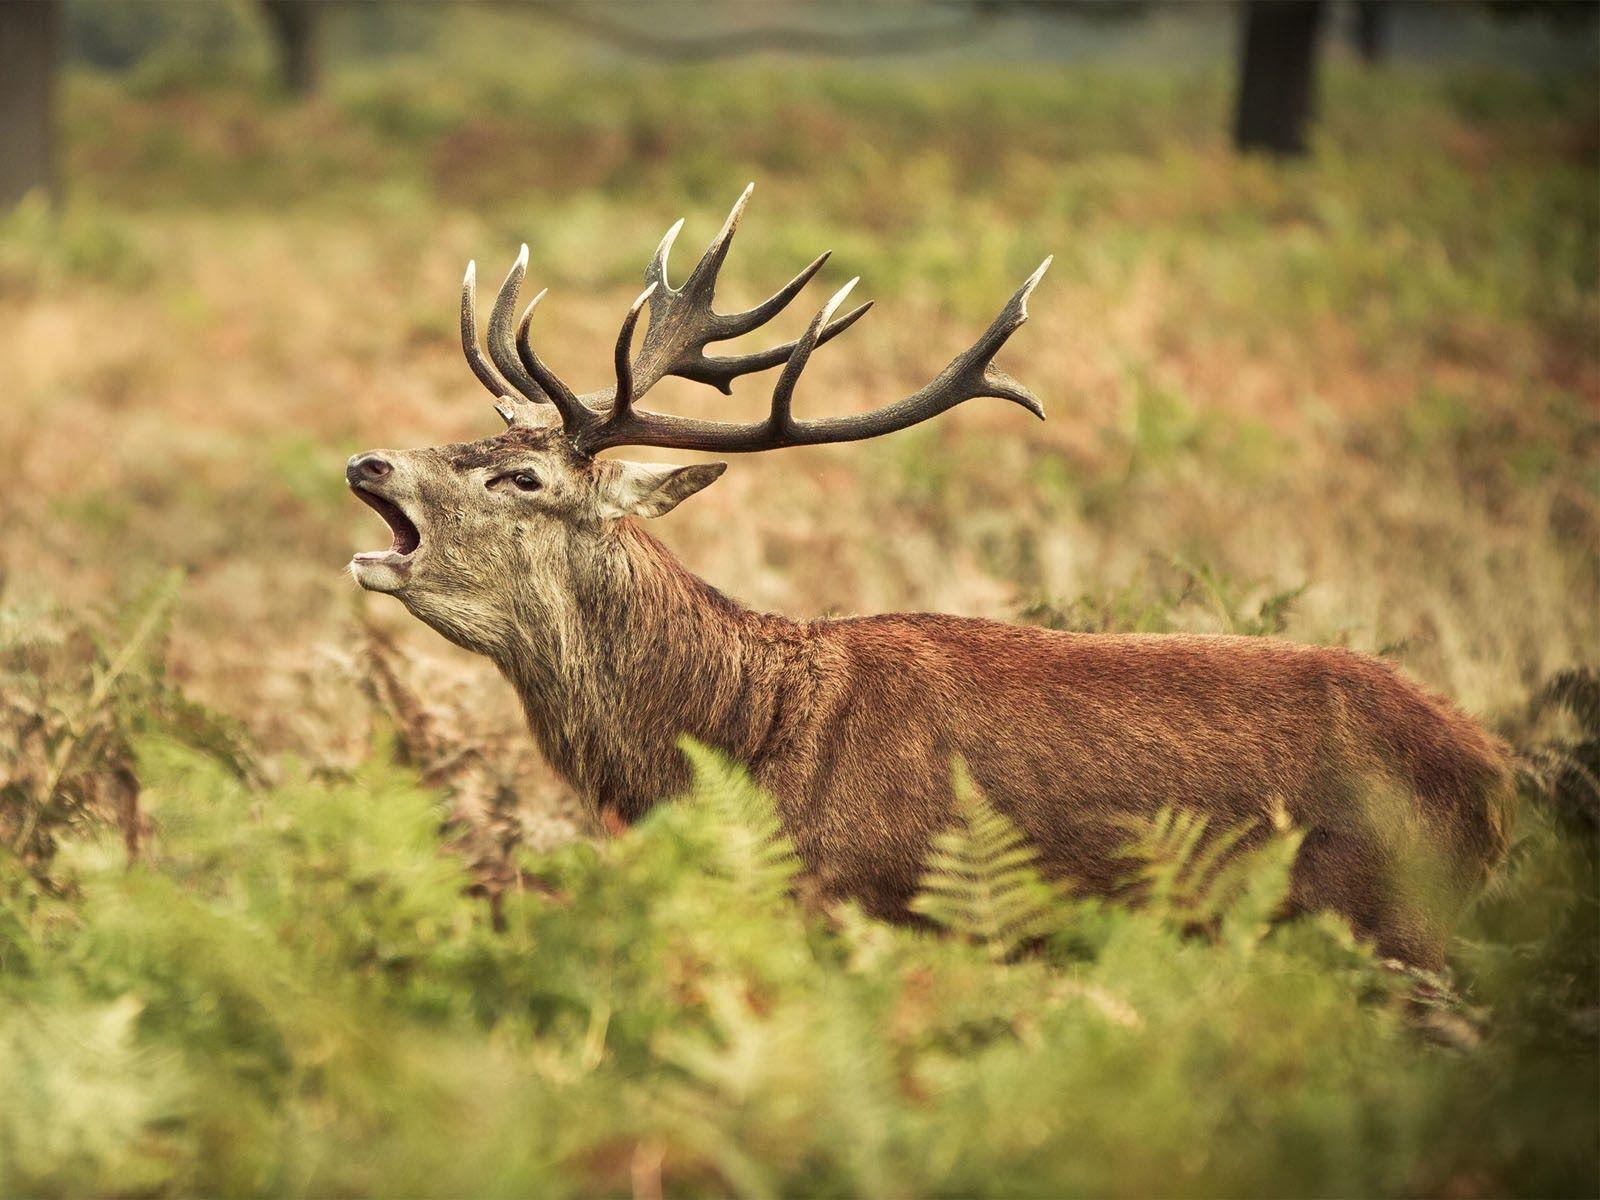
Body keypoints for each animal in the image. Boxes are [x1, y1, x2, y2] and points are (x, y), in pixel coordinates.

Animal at [347, 185, 1513, 969]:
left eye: (523, 475)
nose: (368, 462)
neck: (742, 742)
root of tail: (1496, 778)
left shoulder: (865, 904)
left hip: (1387, 921)